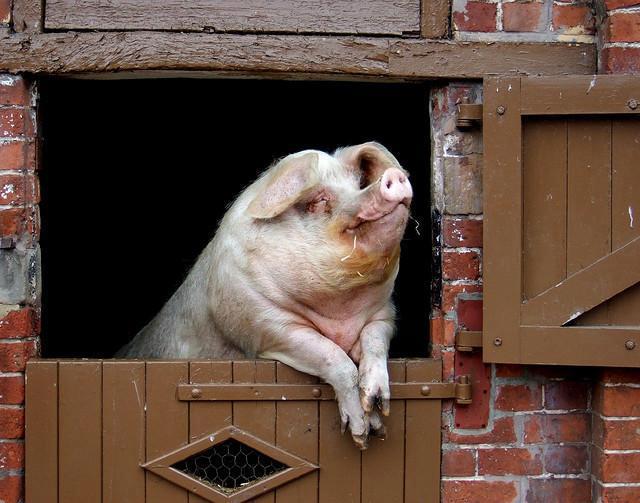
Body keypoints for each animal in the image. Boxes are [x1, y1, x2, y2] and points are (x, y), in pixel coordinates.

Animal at [117, 142, 413, 449]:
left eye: (358, 184)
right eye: (318, 200)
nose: (393, 176)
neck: (341, 314)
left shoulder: (384, 314)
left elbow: (374, 341)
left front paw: (377, 416)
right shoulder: (262, 323)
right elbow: (333, 357)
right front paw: (360, 435)